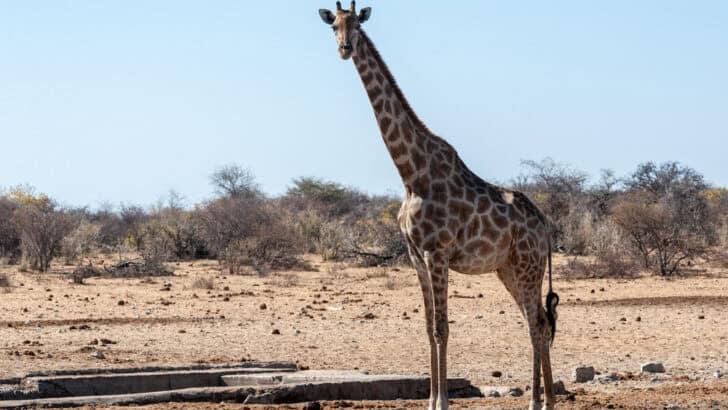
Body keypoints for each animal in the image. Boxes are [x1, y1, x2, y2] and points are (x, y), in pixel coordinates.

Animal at [318, 3, 560, 409]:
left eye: (358, 25)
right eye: (333, 25)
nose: (344, 48)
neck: (411, 173)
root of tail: (544, 225)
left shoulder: (438, 252)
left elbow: (442, 329)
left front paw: (443, 401)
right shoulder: (416, 255)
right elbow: (428, 327)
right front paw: (431, 399)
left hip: (528, 265)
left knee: (538, 324)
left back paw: (539, 402)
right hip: (508, 269)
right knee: (538, 321)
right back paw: (545, 401)